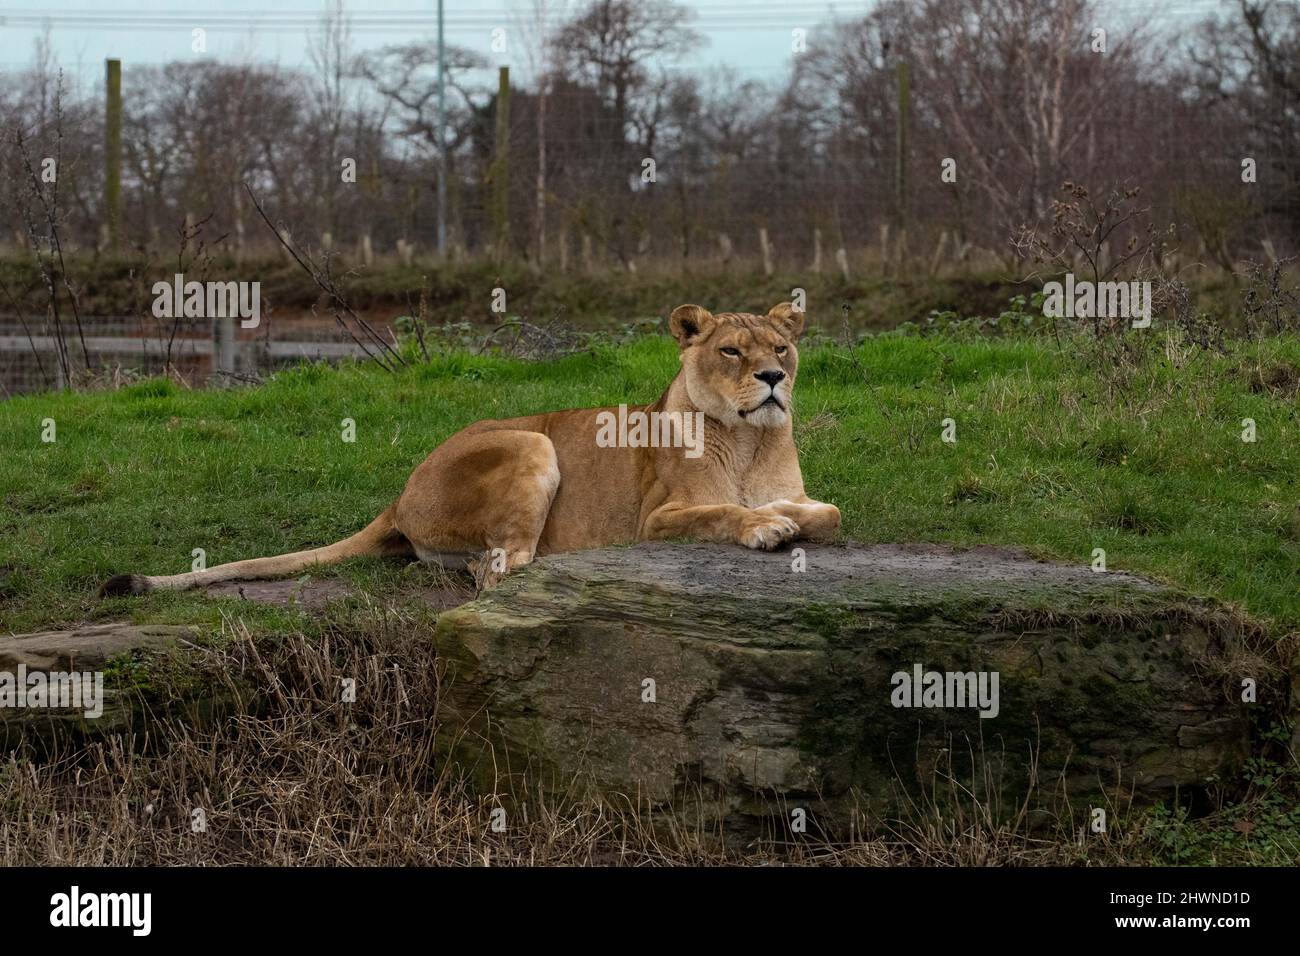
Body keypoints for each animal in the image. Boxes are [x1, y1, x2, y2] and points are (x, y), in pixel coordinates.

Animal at [100, 302, 841, 597]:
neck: (748, 439)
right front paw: (765, 527)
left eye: (781, 348)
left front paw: (788, 517)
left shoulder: (800, 489)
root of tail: (400, 494)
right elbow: (724, 511)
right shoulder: (654, 519)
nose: (772, 379)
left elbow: (826, 512)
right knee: (496, 570)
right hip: (533, 440)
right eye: (731, 351)